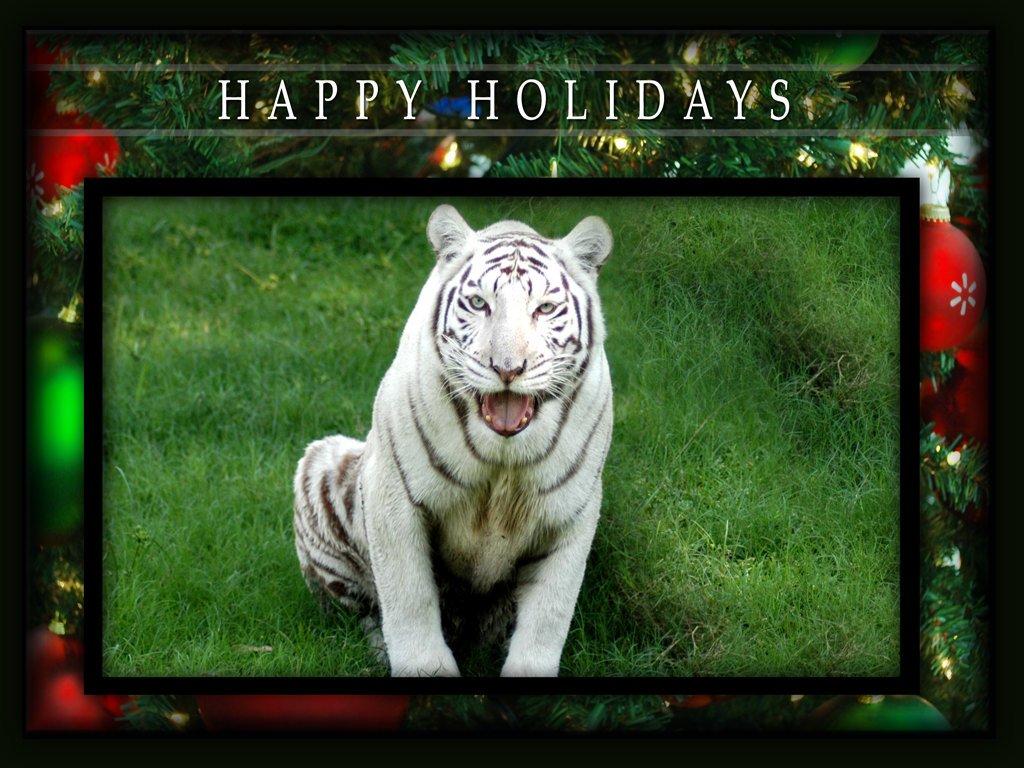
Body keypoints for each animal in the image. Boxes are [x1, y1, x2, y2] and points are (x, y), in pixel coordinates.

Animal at [293, 204, 614, 677]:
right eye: (480, 303)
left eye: (545, 308)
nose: (507, 368)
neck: (503, 459)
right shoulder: (392, 494)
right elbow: (409, 597)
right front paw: (423, 669)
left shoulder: (571, 513)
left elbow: (549, 615)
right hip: (323, 465)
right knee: (360, 610)